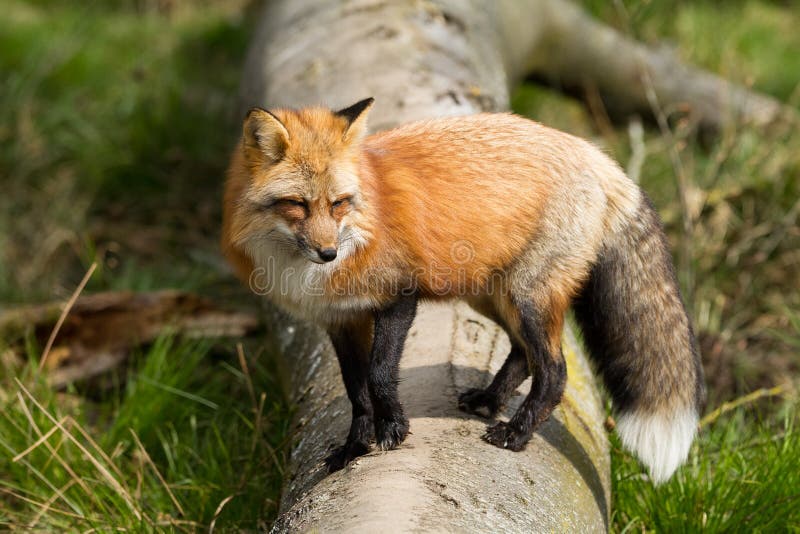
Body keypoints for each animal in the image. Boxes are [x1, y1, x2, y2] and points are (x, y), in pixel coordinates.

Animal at [221, 97, 705, 484]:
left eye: (338, 203)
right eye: (297, 204)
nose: (327, 253)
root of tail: (596, 155)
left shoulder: (398, 297)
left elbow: (379, 375)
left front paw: (392, 429)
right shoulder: (340, 321)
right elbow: (356, 392)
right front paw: (354, 448)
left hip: (528, 297)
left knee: (555, 372)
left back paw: (516, 433)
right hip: (491, 295)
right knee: (522, 354)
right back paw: (490, 400)